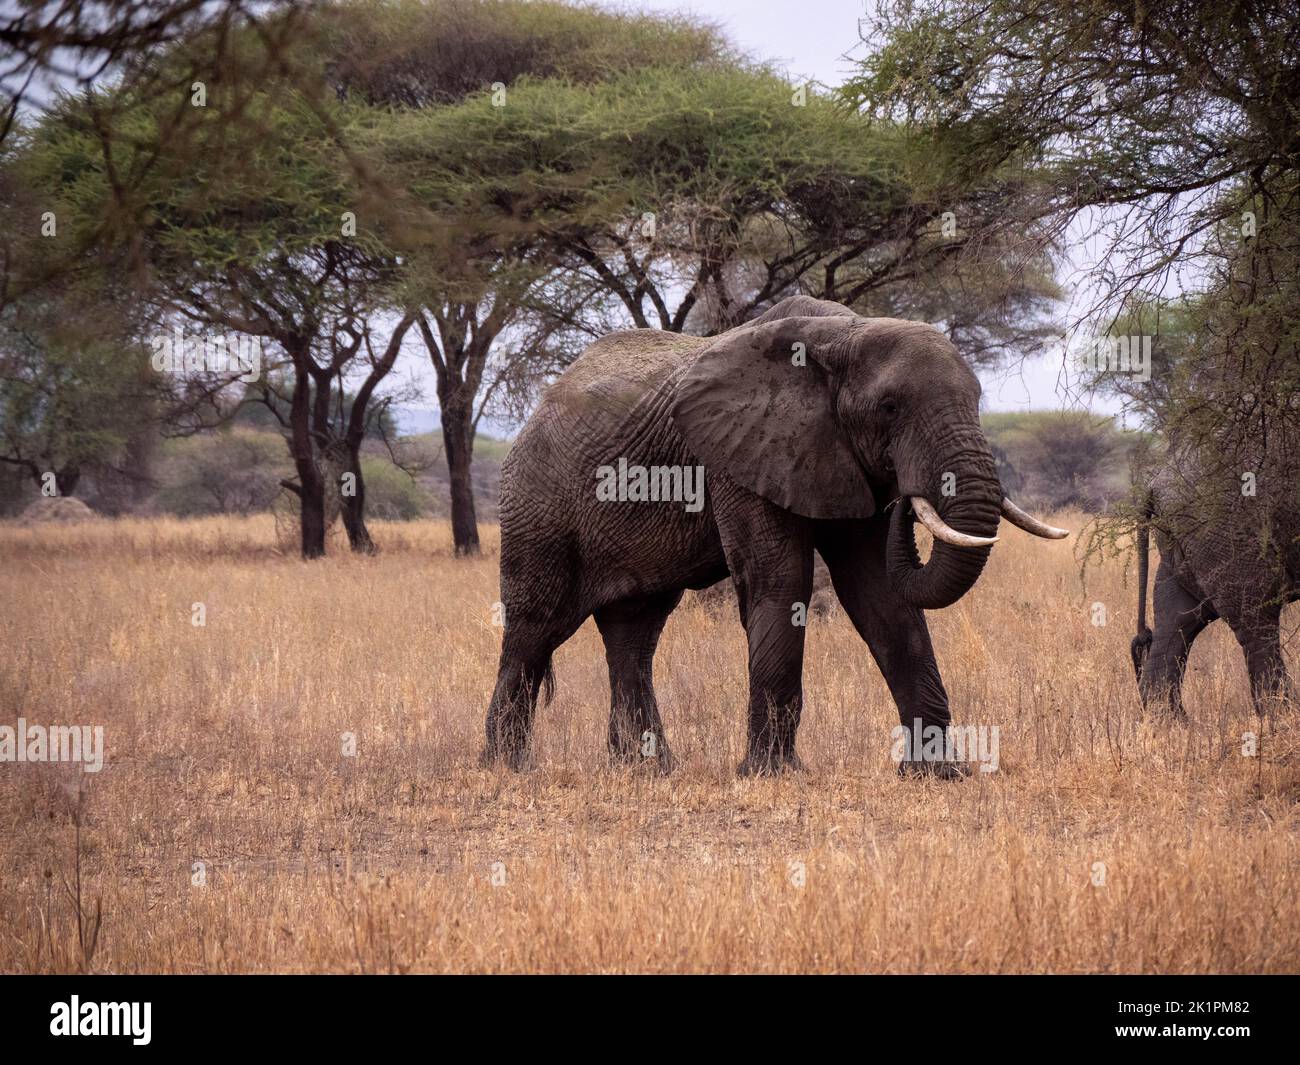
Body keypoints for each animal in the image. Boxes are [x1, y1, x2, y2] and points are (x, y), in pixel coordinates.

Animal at [482, 296, 1068, 776]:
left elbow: (879, 595)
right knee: (536, 625)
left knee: (635, 632)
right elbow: (781, 582)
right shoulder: (742, 453)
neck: (844, 333)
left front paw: (938, 774)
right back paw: (508, 767)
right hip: (537, 501)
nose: (908, 498)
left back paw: (648, 770)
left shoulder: (833, 453)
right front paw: (772, 774)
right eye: (889, 408)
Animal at [1131, 449, 1300, 715]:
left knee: (1178, 618)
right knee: (1254, 618)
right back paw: (1282, 715)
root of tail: (1154, 484)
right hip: (1225, 532)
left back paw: (1170, 721)